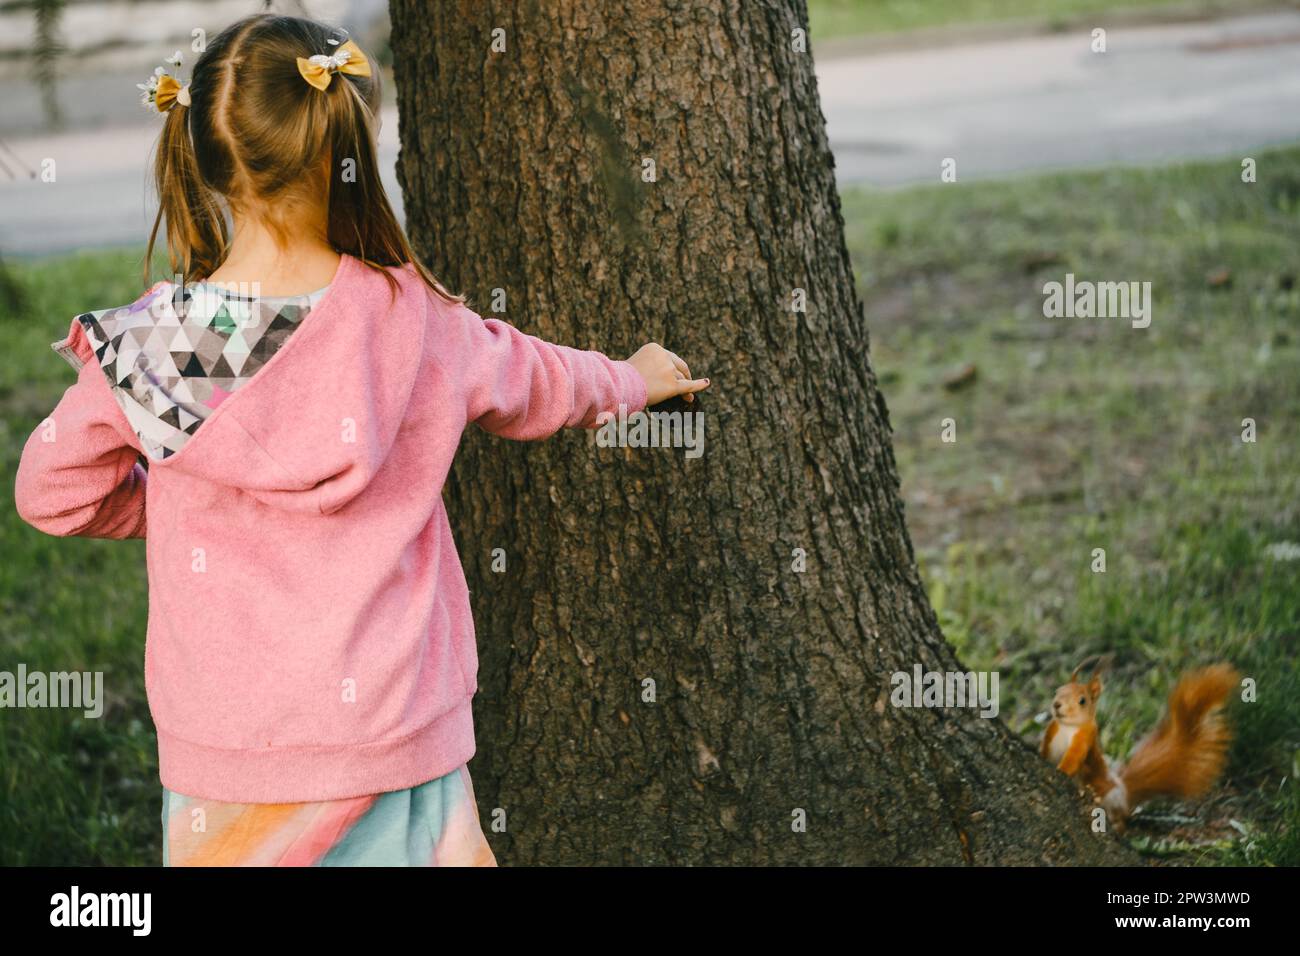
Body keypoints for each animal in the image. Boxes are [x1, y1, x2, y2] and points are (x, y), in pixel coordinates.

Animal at [1040, 656, 1239, 829]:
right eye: (1057, 691)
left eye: (1082, 701)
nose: (1056, 705)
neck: (1067, 727)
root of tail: (1124, 790)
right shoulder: (1051, 732)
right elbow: (1045, 750)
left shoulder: (1084, 740)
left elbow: (1073, 759)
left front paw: (1061, 770)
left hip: (1110, 798)